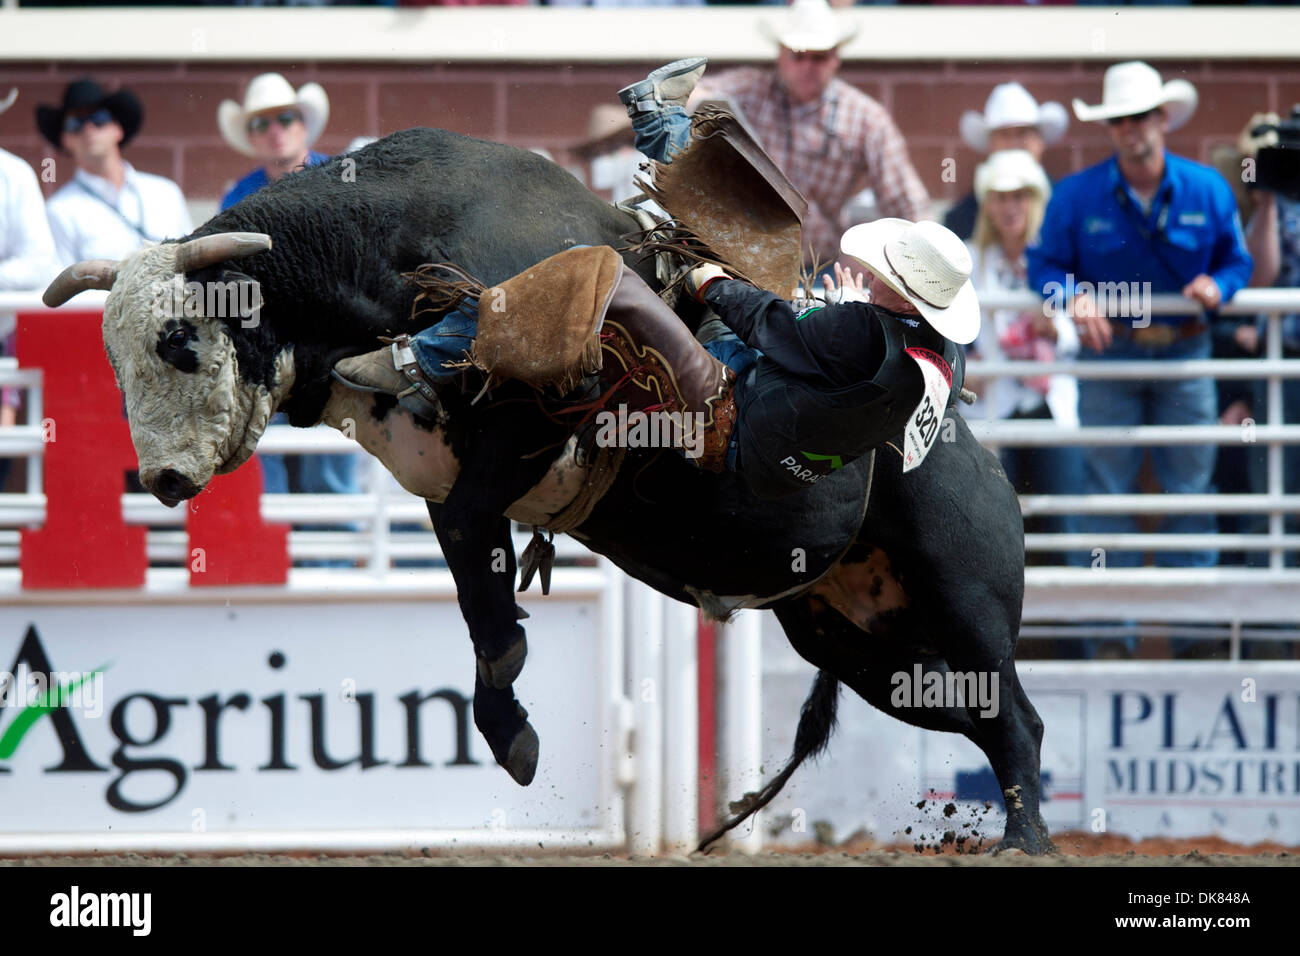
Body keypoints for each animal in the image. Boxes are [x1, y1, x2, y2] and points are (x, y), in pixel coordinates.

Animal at [44, 128, 1052, 854]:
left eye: (179, 340)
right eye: (113, 362)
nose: (162, 479)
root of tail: (978, 456)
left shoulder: (531, 428)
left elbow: (481, 571)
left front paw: (511, 717)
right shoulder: (457, 482)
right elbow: (475, 580)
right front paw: (509, 730)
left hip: (962, 606)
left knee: (1019, 722)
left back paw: (1027, 841)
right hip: (861, 641)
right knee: (989, 720)